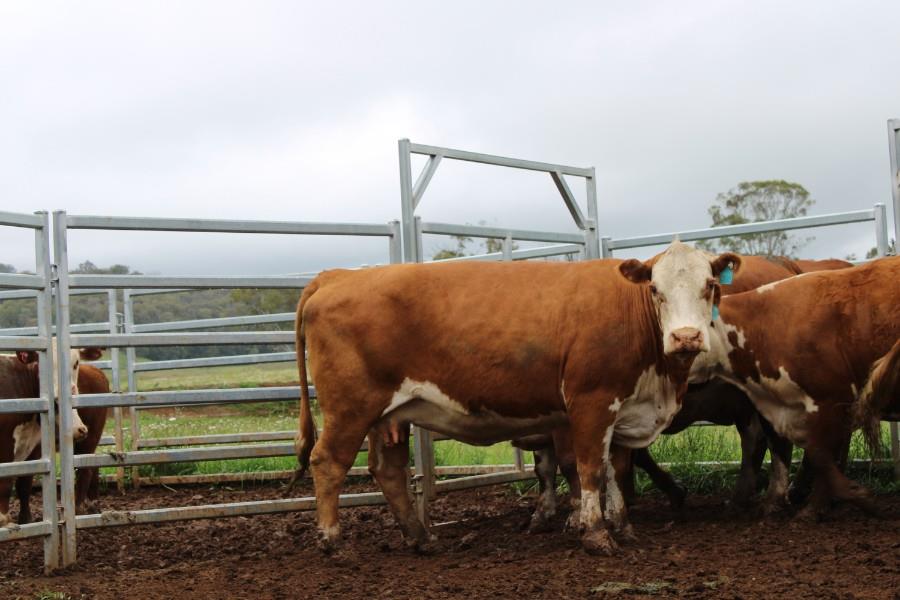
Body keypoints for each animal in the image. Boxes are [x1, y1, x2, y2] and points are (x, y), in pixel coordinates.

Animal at [15, 359, 109, 523]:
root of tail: (95, 370)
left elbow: (24, 482)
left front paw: (25, 518)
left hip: (89, 438)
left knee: (86, 471)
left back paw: (79, 509)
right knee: (93, 467)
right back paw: (93, 506)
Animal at [291, 241, 740, 554]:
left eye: (710, 285)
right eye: (655, 289)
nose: (686, 337)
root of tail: (338, 275)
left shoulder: (625, 411)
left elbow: (616, 468)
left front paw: (623, 527)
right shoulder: (590, 403)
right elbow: (590, 469)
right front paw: (595, 535)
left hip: (390, 415)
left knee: (387, 470)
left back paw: (420, 538)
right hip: (350, 407)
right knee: (328, 462)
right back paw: (332, 541)